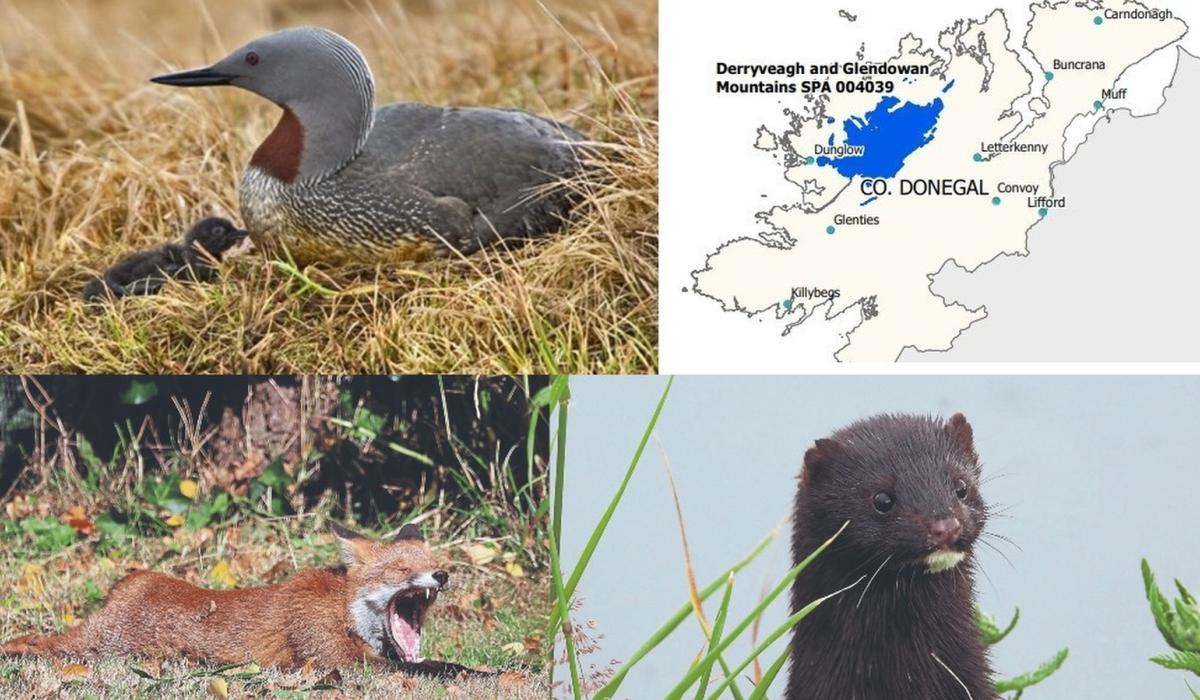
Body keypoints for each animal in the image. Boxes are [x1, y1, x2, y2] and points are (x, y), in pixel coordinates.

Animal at [2, 522, 480, 676]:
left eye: (435, 562)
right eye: (400, 570)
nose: (442, 575)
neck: (340, 611)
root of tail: (131, 582)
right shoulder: (339, 662)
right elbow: (439, 668)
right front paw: (478, 674)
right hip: (95, 648)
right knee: (37, 644)